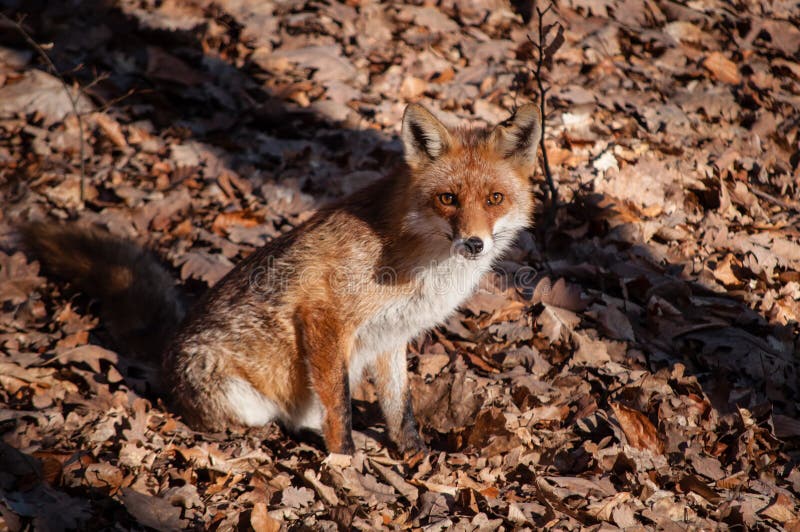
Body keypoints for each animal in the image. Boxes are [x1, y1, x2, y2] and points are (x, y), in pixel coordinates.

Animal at [22, 102, 542, 454]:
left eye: (494, 199)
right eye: (448, 199)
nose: (474, 244)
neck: (415, 259)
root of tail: (168, 343)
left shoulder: (391, 336)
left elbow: (400, 407)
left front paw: (411, 455)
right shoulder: (325, 317)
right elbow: (340, 406)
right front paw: (345, 461)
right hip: (242, 399)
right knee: (263, 420)